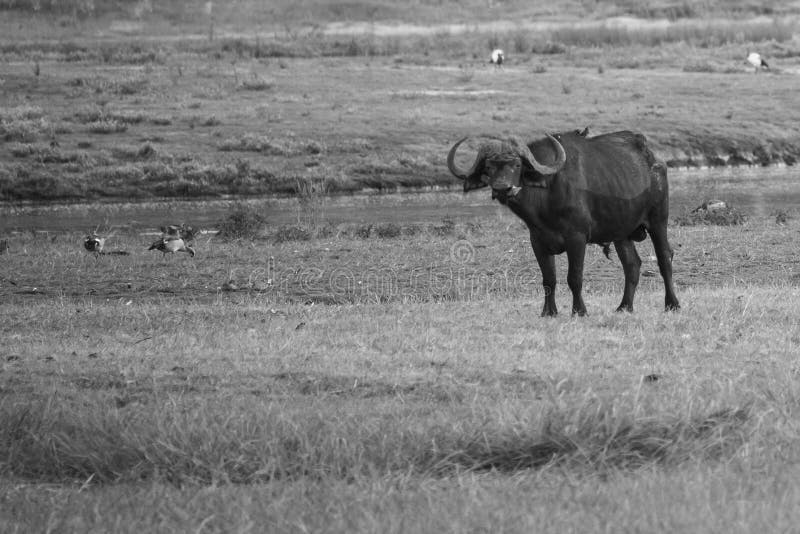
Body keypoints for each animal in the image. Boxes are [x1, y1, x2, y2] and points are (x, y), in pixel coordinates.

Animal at [447, 129, 680, 316]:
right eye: (488, 166)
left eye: (517, 164)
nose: (503, 188)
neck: (546, 197)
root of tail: (653, 158)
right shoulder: (538, 242)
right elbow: (548, 280)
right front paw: (548, 312)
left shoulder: (576, 239)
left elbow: (574, 277)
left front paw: (579, 310)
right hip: (622, 233)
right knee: (632, 265)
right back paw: (624, 306)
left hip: (658, 220)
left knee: (664, 258)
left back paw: (672, 304)